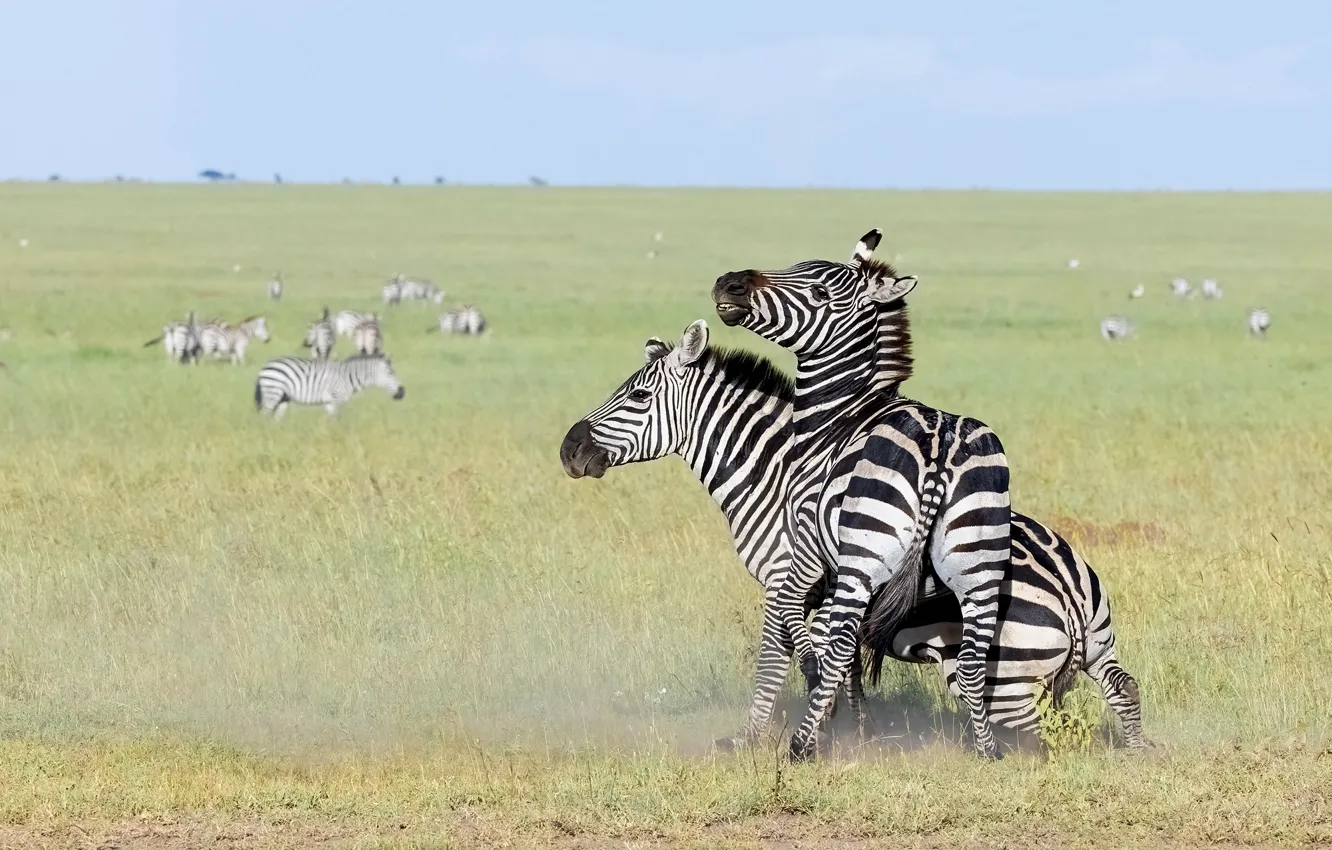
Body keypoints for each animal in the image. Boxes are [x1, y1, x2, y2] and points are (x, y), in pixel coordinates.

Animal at [254, 354, 405, 418]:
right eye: (390, 373)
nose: (402, 393)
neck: (348, 377)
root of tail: (265, 366)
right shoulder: (336, 400)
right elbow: (335, 422)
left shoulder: (329, 403)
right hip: (273, 393)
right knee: (263, 415)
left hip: (283, 398)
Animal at [560, 320, 1146, 750]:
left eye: (637, 396)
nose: (569, 449)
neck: (775, 471)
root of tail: (1070, 595)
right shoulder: (832, 588)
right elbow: (839, 663)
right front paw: (855, 729)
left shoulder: (785, 577)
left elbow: (778, 656)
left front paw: (756, 735)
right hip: (1097, 644)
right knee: (1124, 688)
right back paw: (1139, 753)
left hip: (1011, 683)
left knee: (1050, 730)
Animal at [712, 230, 1012, 761]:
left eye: (819, 292)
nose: (729, 283)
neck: (838, 416)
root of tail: (939, 445)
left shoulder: (808, 553)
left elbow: (795, 627)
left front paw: (817, 718)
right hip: (981, 566)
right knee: (974, 662)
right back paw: (986, 750)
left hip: (861, 563)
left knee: (840, 644)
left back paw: (800, 748)